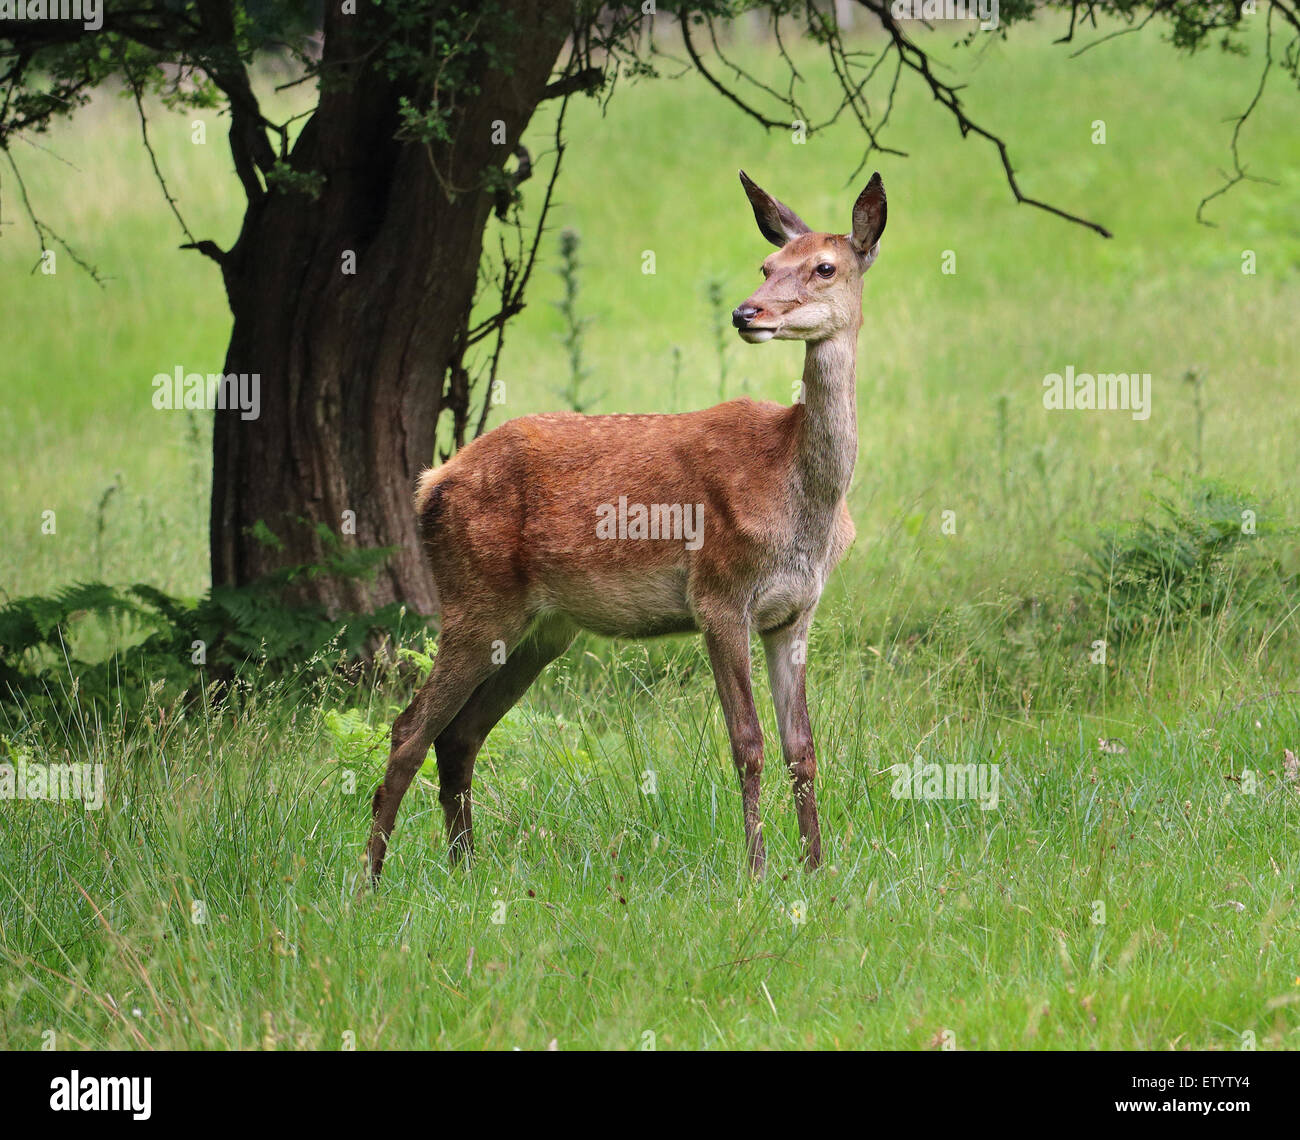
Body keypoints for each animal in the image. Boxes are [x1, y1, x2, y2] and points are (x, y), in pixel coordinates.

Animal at [365, 169, 886, 881]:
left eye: (824, 267)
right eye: (766, 264)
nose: (746, 313)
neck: (802, 499)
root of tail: (429, 484)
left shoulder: (794, 612)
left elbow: (801, 748)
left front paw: (816, 868)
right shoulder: (717, 593)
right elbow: (747, 743)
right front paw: (756, 873)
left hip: (541, 629)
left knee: (460, 734)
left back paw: (466, 869)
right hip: (476, 601)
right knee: (409, 729)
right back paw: (371, 882)